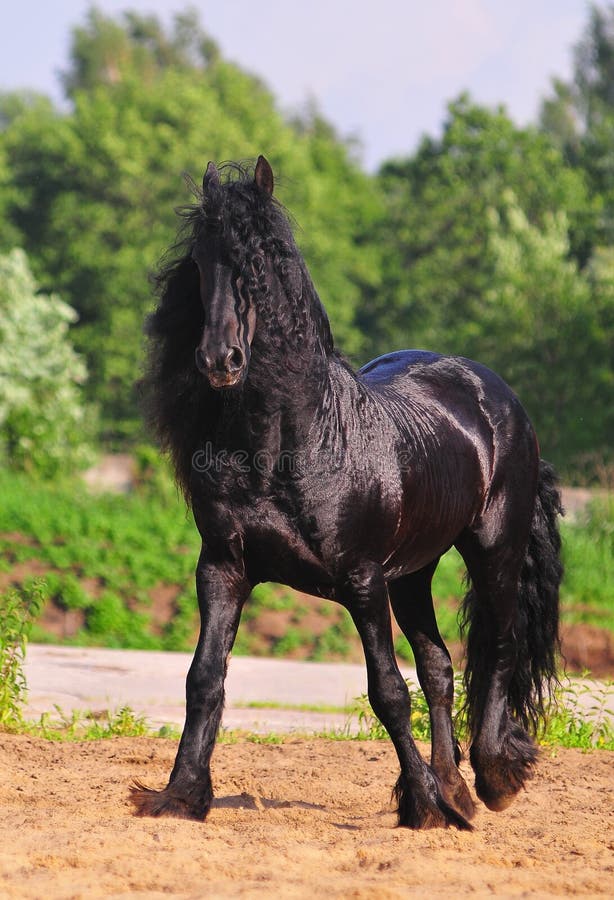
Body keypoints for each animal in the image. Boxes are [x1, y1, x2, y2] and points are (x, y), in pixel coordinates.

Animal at [132, 156, 563, 829]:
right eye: (200, 260)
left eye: (265, 257)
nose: (219, 360)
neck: (289, 449)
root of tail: (494, 392)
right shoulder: (223, 568)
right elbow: (203, 678)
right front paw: (180, 795)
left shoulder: (362, 581)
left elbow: (387, 691)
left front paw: (422, 805)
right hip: (412, 574)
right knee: (440, 666)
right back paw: (456, 790)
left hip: (493, 548)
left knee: (498, 646)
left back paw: (494, 778)